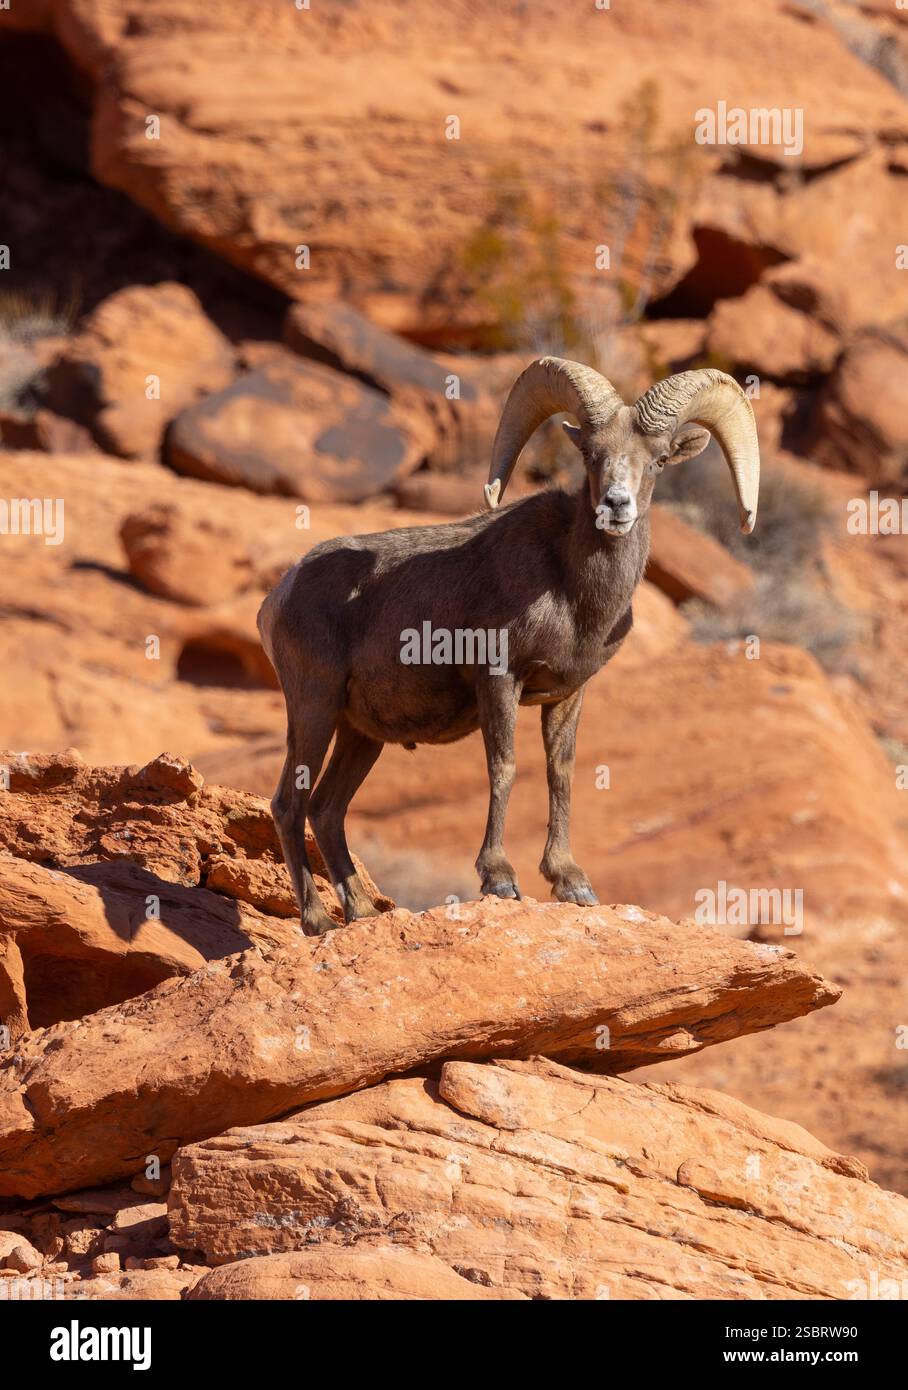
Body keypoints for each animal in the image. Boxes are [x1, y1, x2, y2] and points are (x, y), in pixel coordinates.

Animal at [258, 357, 760, 935]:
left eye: (657, 460)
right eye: (591, 455)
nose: (615, 505)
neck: (573, 593)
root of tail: (280, 594)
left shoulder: (567, 695)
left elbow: (559, 773)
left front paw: (571, 883)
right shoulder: (499, 679)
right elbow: (505, 767)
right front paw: (499, 878)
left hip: (361, 734)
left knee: (327, 809)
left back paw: (361, 914)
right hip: (313, 708)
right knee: (289, 805)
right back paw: (318, 922)